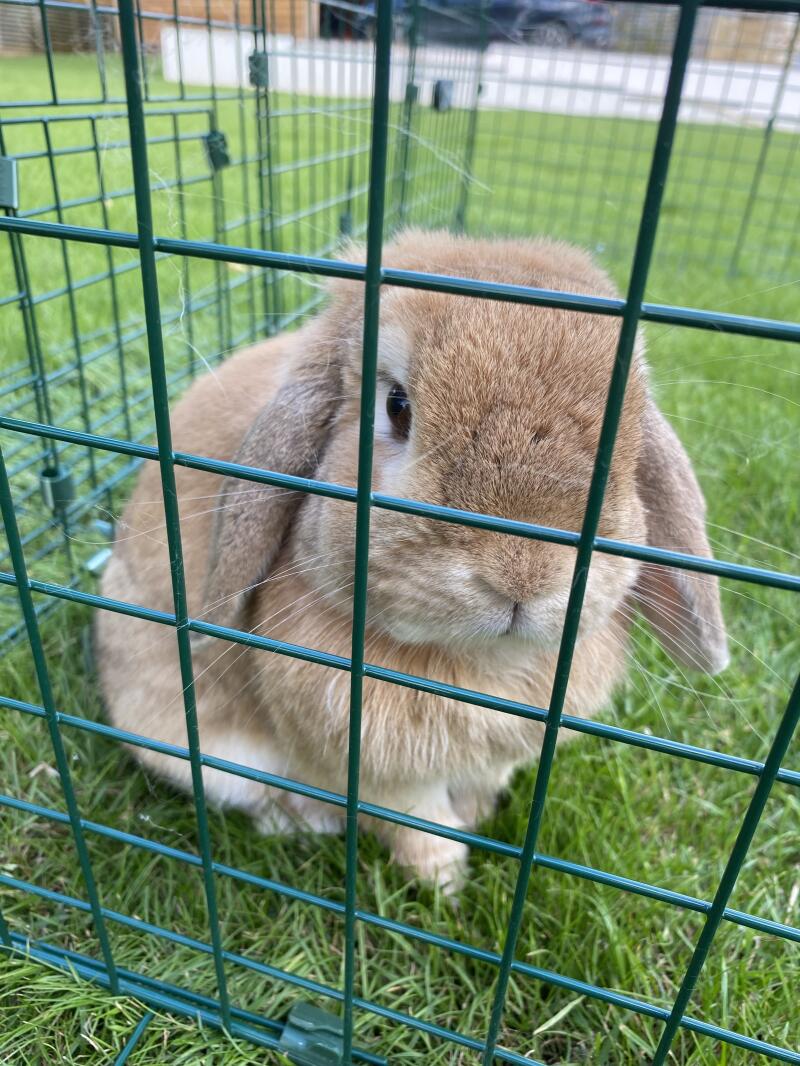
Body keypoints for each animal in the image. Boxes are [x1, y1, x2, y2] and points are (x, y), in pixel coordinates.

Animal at [96, 230, 728, 890]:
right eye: (397, 406)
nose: (524, 575)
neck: (480, 667)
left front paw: (477, 819)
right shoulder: (372, 771)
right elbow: (414, 821)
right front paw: (444, 880)